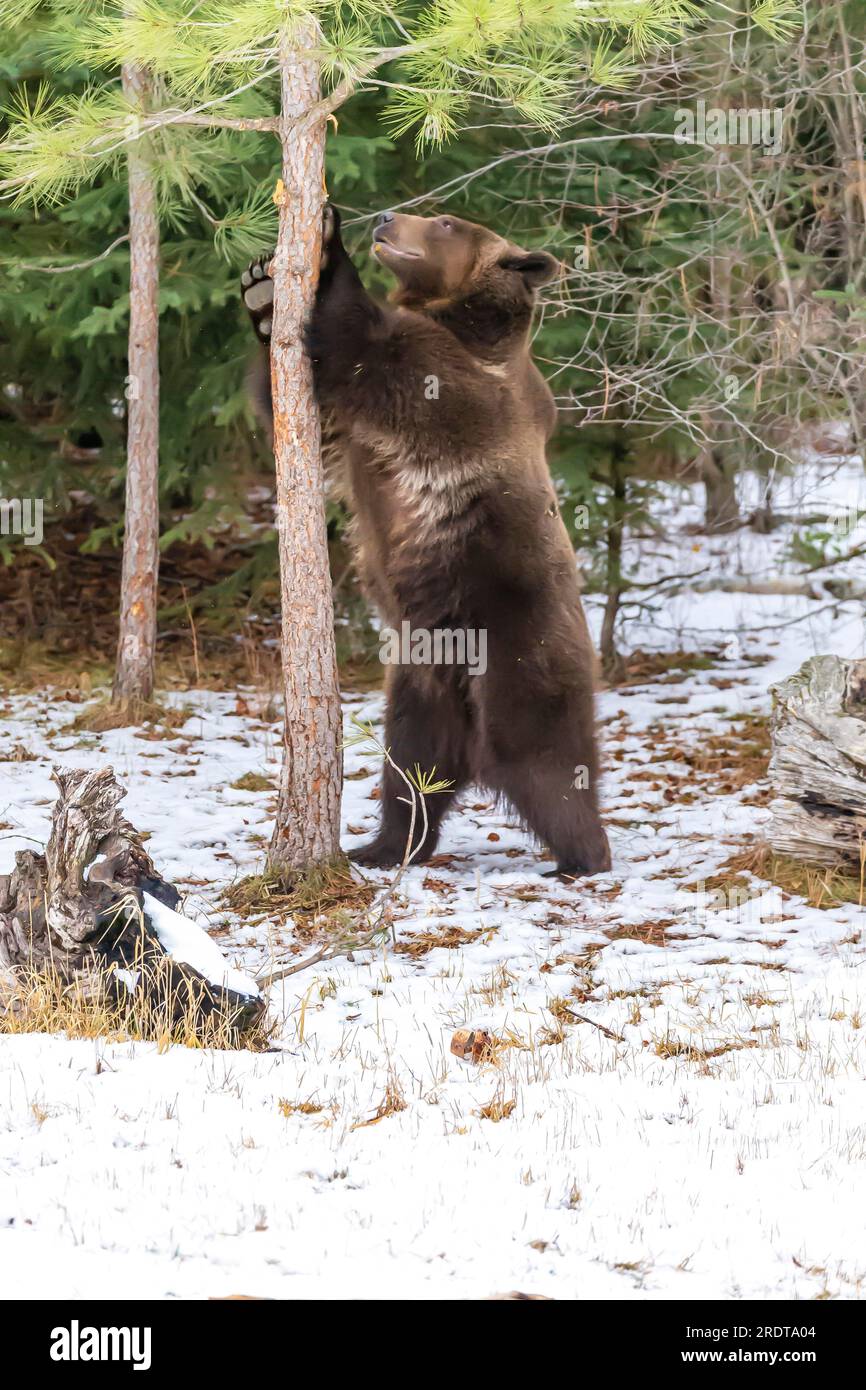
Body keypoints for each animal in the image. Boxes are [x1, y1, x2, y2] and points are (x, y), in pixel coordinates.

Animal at [241, 204, 611, 876]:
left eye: (444, 222)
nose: (387, 217)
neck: (460, 320)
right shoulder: (354, 431)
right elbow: (306, 408)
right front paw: (261, 292)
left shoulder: (467, 391)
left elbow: (369, 348)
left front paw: (329, 242)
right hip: (422, 677)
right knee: (412, 767)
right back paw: (385, 846)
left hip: (516, 640)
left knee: (542, 756)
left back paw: (581, 855)